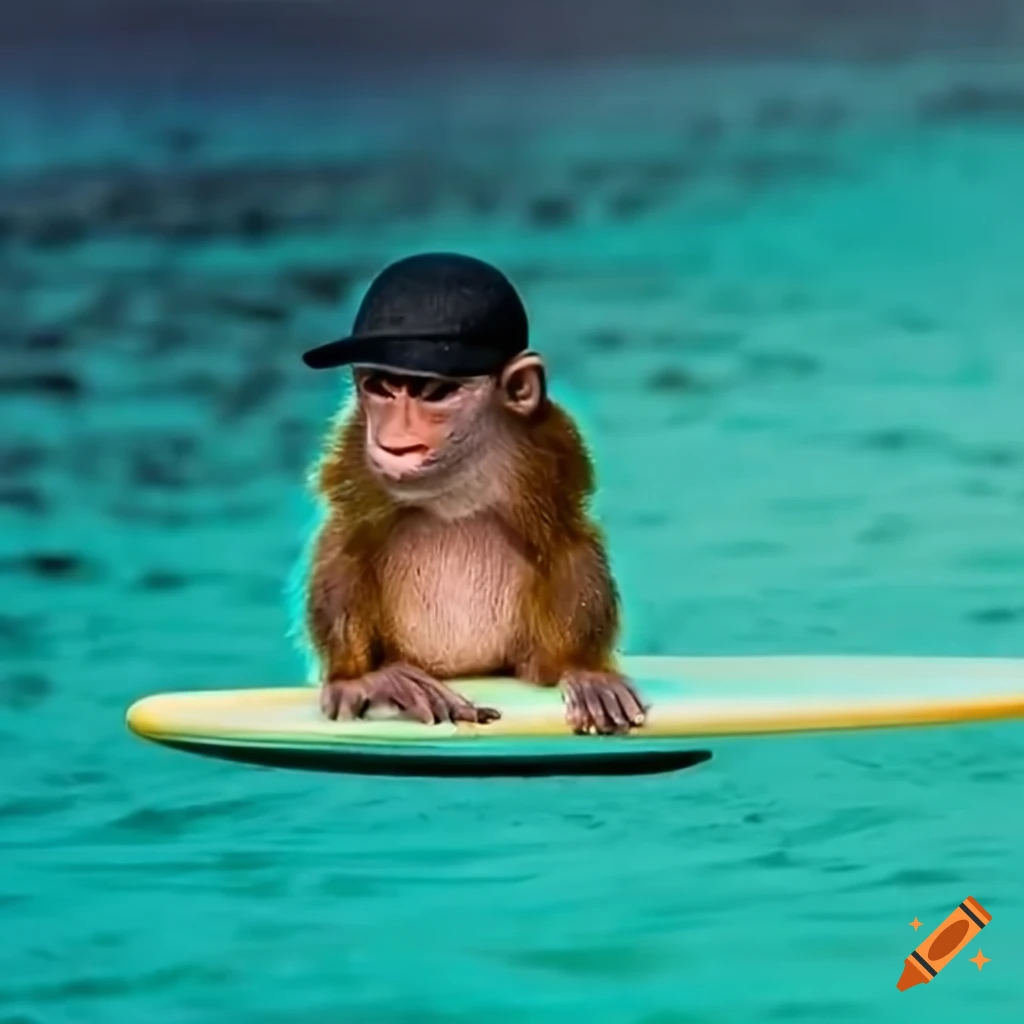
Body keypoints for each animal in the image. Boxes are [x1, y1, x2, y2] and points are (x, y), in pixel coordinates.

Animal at [297, 252, 647, 736]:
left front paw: (582, 669)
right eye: (381, 388)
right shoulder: (356, 453)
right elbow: (350, 534)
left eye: (434, 393)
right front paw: (362, 678)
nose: (394, 438)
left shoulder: (547, 447)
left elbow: (564, 537)